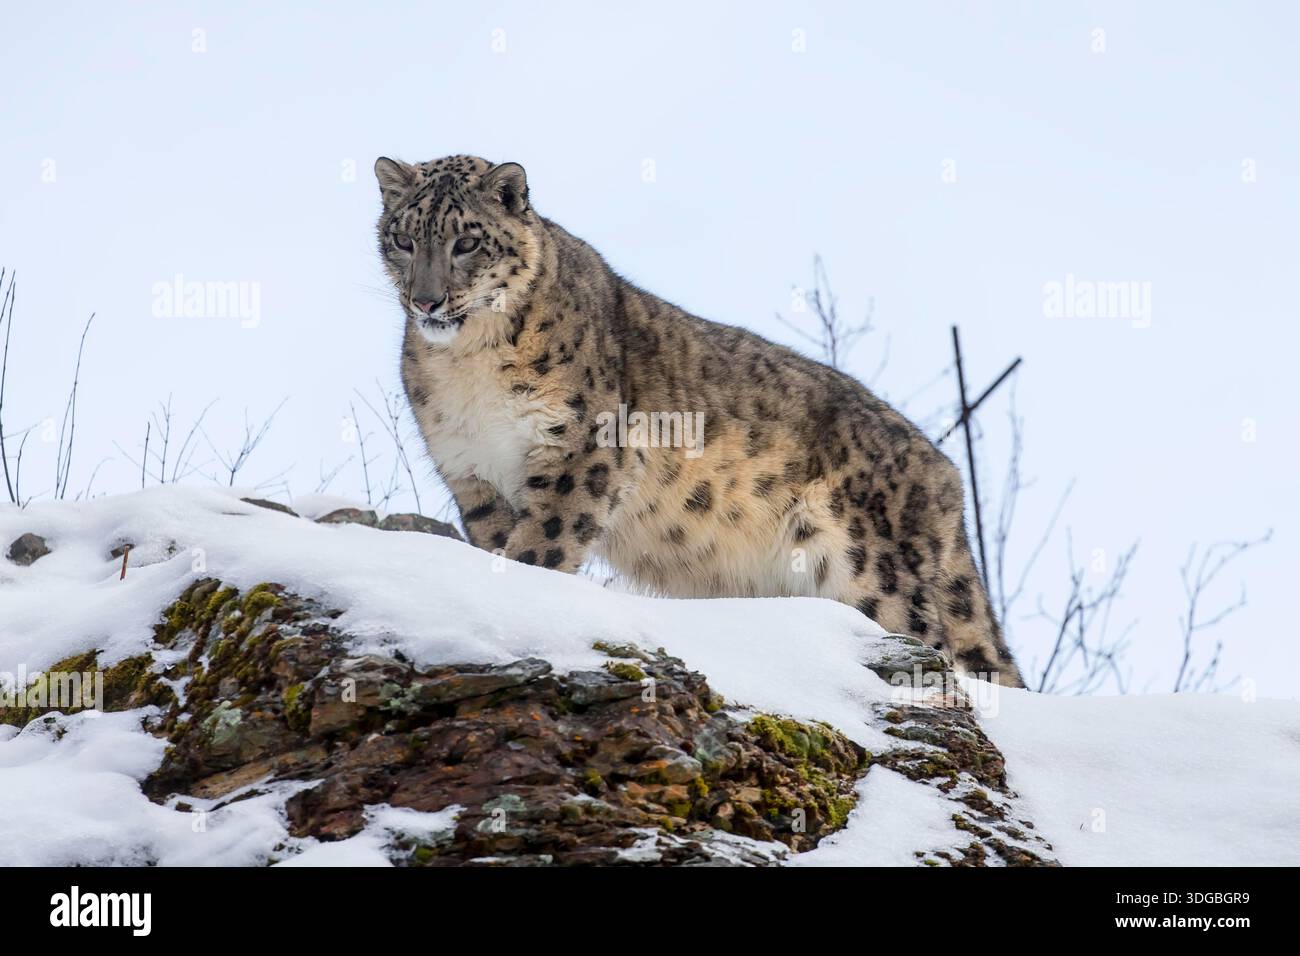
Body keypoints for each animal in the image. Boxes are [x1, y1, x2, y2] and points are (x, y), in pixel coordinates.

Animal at [374, 153, 1024, 686]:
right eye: (403, 239)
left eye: (466, 243)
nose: (426, 301)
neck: (470, 364)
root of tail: (944, 474)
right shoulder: (472, 474)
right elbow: (497, 542)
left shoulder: (579, 453)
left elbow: (542, 546)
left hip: (872, 573)